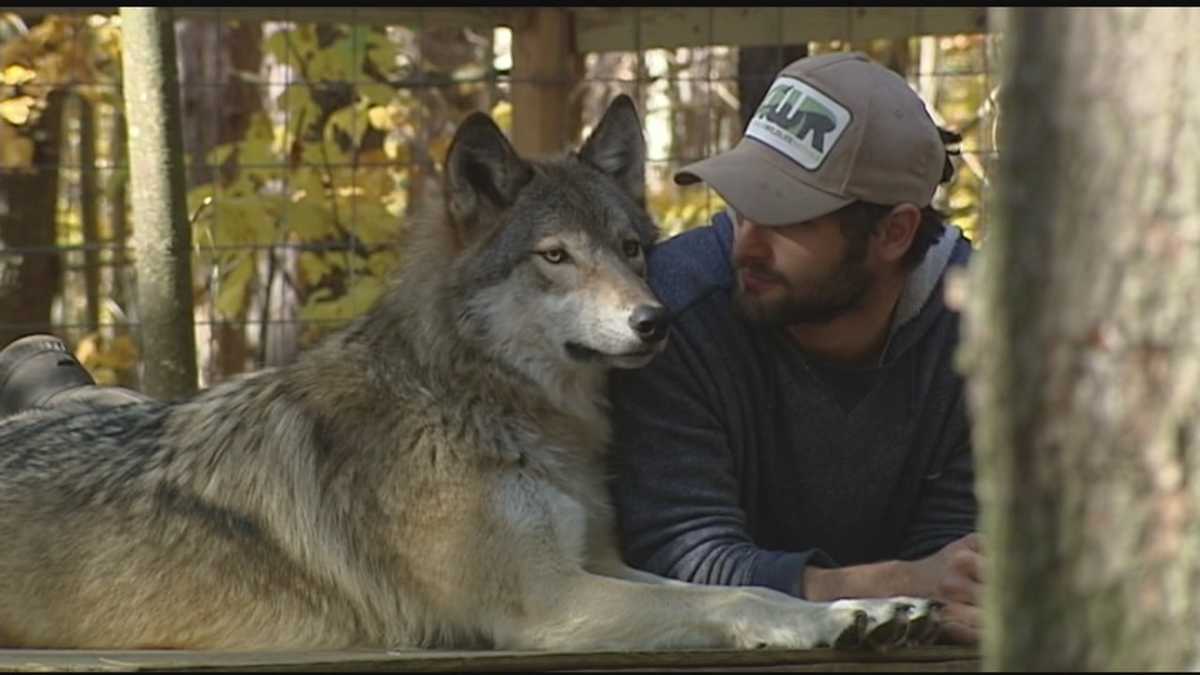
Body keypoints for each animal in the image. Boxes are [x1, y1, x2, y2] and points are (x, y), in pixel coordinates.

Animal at [0, 96, 938, 651]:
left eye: (631, 249)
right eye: (555, 256)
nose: (656, 320)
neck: (485, 405)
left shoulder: (600, 564)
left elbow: (720, 583)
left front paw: (875, 605)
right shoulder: (545, 603)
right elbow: (730, 600)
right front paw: (832, 617)